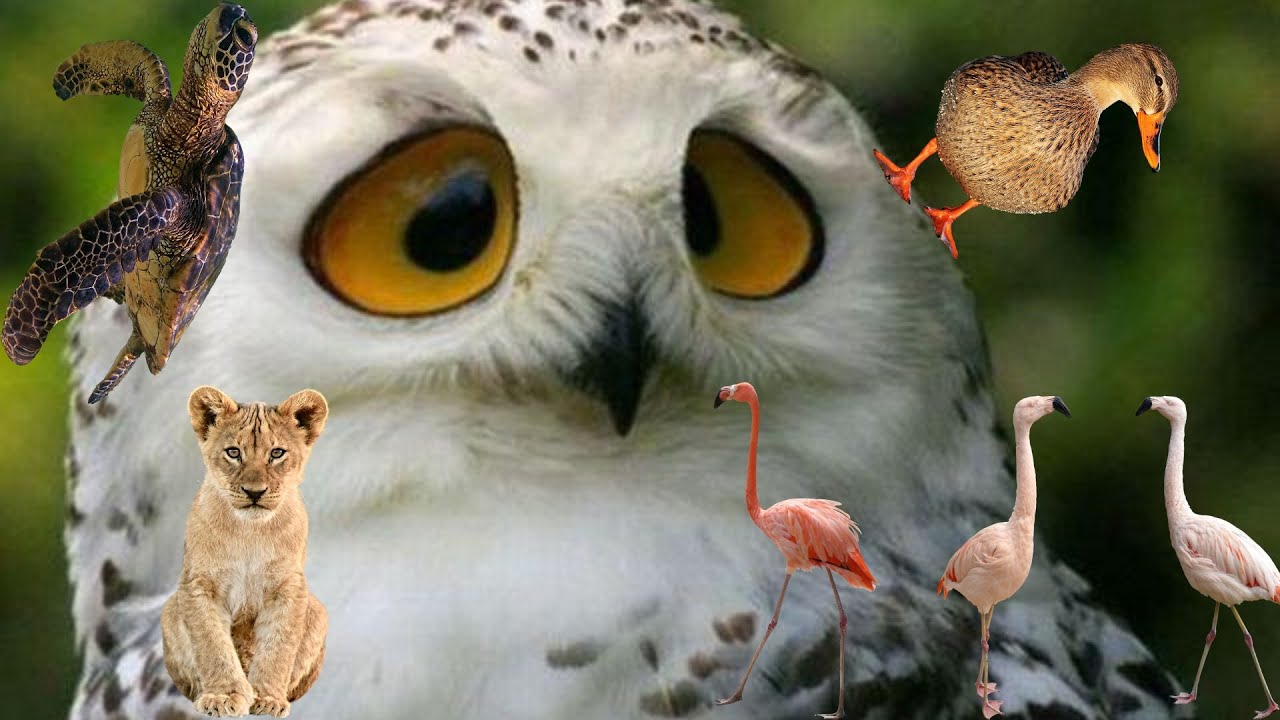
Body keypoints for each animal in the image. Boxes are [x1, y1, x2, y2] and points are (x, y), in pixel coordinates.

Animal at [161, 386, 330, 718]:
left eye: (276, 453)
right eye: (233, 452)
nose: (255, 492)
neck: (249, 533)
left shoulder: (289, 587)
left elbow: (278, 647)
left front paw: (267, 698)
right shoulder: (198, 585)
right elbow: (212, 645)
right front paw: (224, 696)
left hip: (318, 611)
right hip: (169, 610)